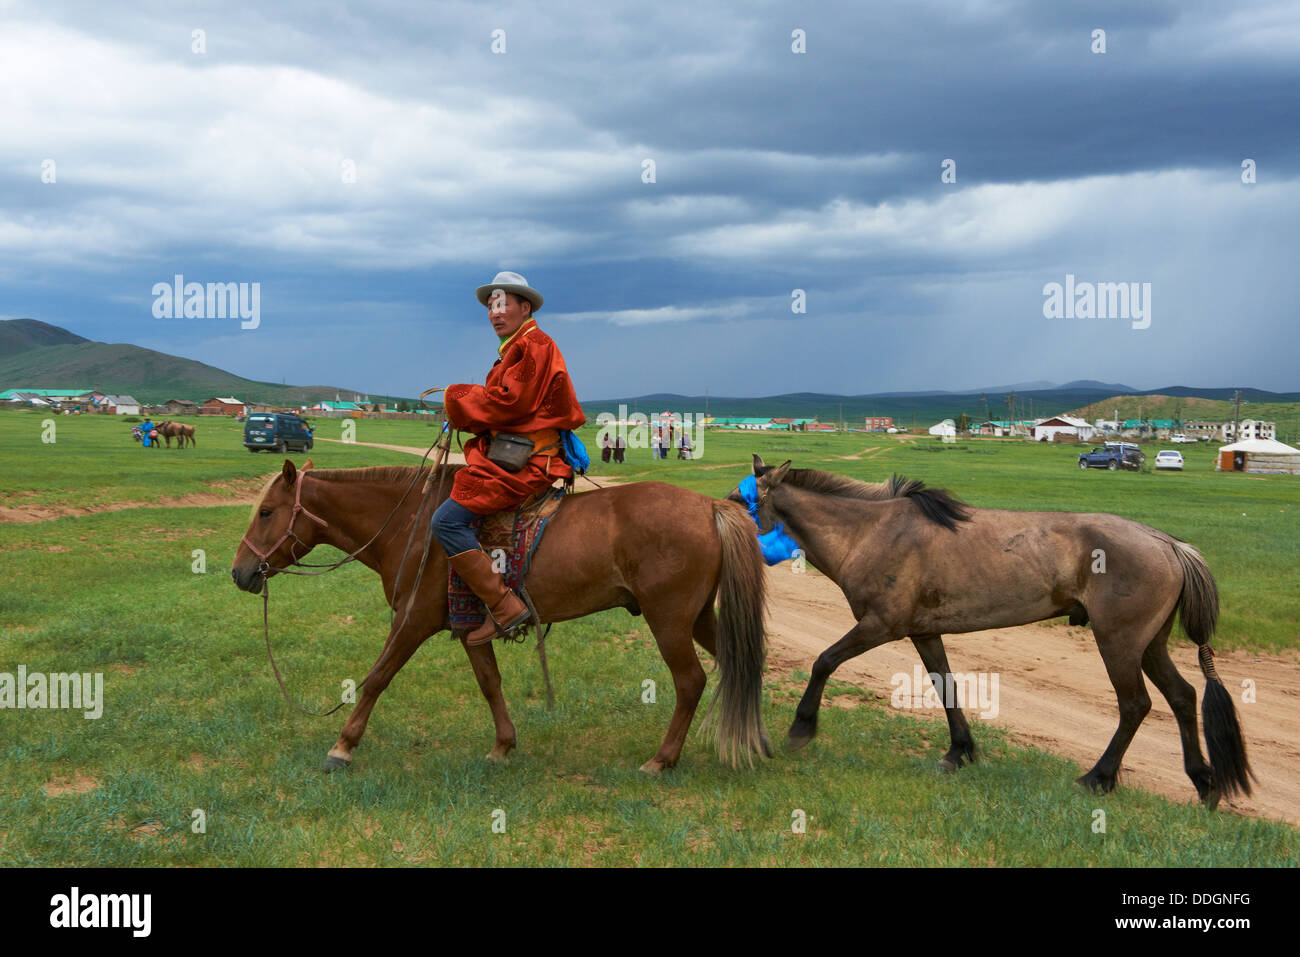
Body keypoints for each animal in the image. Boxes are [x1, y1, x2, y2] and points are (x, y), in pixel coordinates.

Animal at [232, 459, 771, 774]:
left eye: (266, 512)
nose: (240, 572)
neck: (409, 524)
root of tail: (709, 507)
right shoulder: (472, 625)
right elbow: (490, 683)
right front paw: (503, 746)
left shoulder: (411, 621)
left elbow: (377, 678)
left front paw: (342, 747)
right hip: (698, 618)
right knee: (740, 664)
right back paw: (759, 739)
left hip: (669, 620)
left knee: (690, 681)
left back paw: (661, 760)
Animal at [728, 455, 1253, 808]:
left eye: (742, 501)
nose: (721, 528)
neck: (869, 533)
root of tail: (1168, 543)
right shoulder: (923, 632)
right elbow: (946, 687)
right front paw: (960, 751)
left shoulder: (880, 625)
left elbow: (824, 661)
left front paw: (801, 727)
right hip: (1149, 645)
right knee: (1182, 697)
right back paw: (1203, 783)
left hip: (1119, 643)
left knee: (1135, 706)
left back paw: (1098, 778)